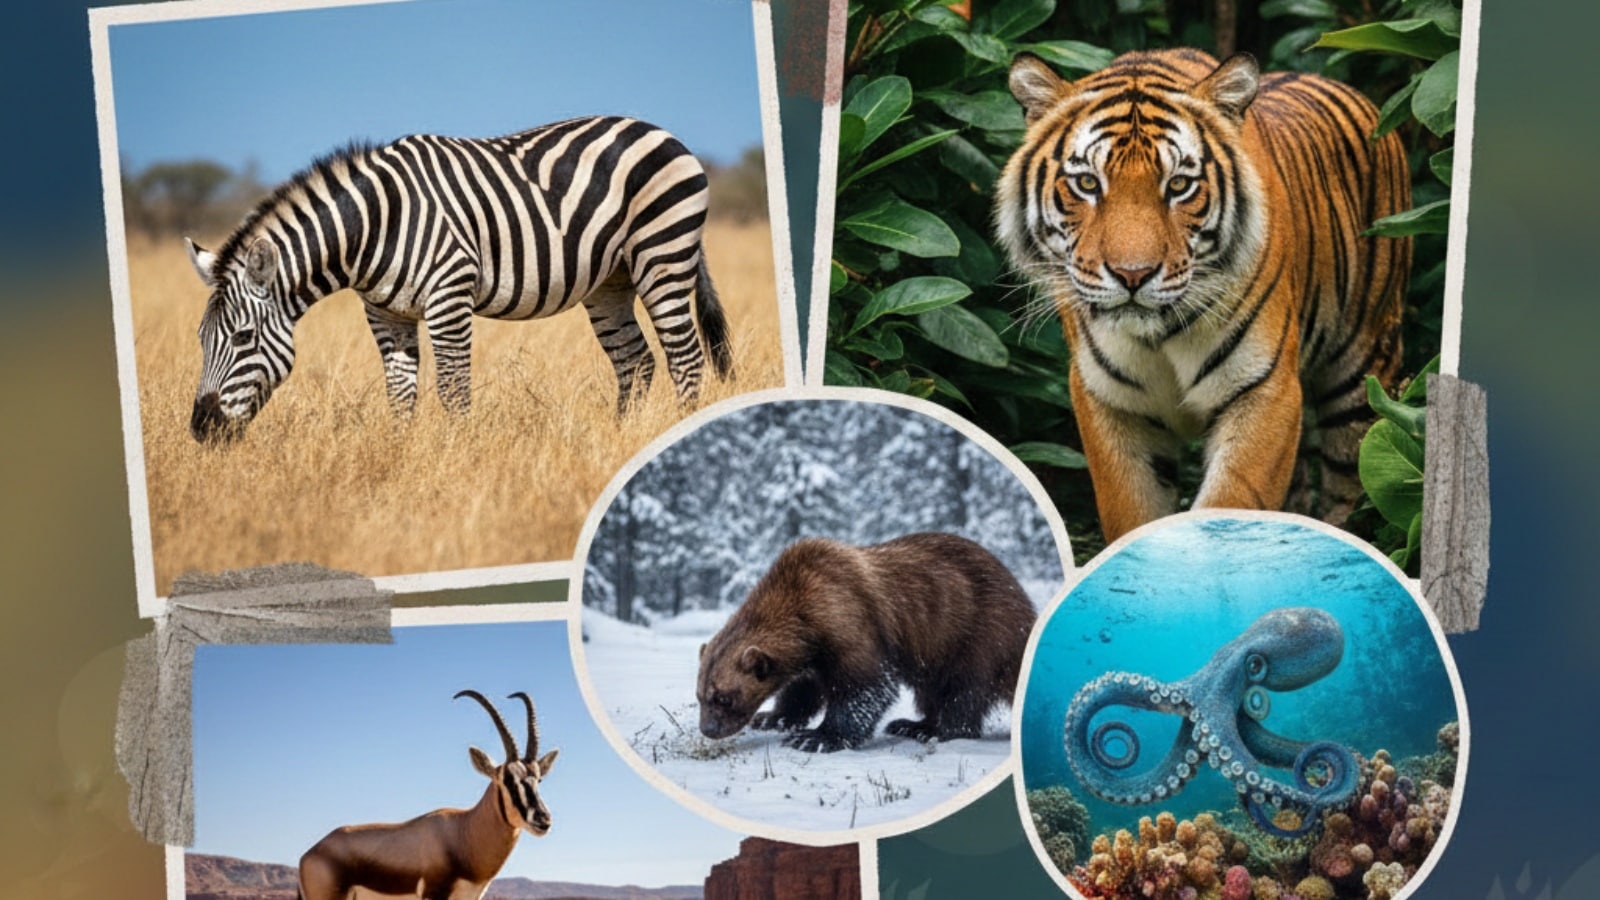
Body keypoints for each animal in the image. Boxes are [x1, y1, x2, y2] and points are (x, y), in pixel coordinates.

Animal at [994, 48, 1411, 542]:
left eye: (1179, 185)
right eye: (1088, 184)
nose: (1133, 275)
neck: (1157, 336)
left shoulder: (1265, 391)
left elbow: (1231, 503)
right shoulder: (1109, 401)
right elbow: (1132, 513)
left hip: (1365, 374)